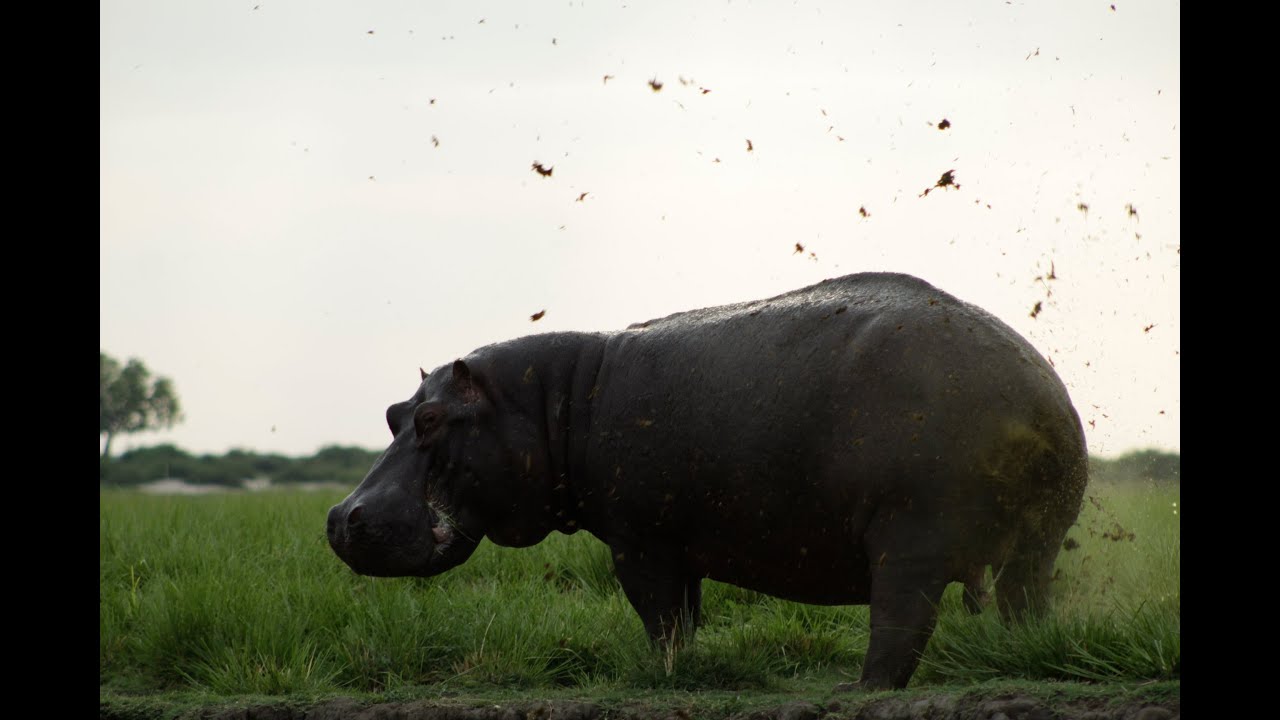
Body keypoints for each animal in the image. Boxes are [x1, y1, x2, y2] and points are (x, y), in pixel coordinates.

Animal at [327, 272, 1088, 690]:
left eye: (431, 418)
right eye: (393, 412)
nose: (339, 518)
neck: (550, 400)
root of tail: (1036, 392)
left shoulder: (639, 540)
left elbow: (659, 617)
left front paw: (661, 676)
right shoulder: (678, 541)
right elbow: (686, 616)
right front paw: (680, 671)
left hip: (908, 539)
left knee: (899, 624)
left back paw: (857, 688)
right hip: (1036, 542)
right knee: (1024, 600)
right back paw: (1021, 658)